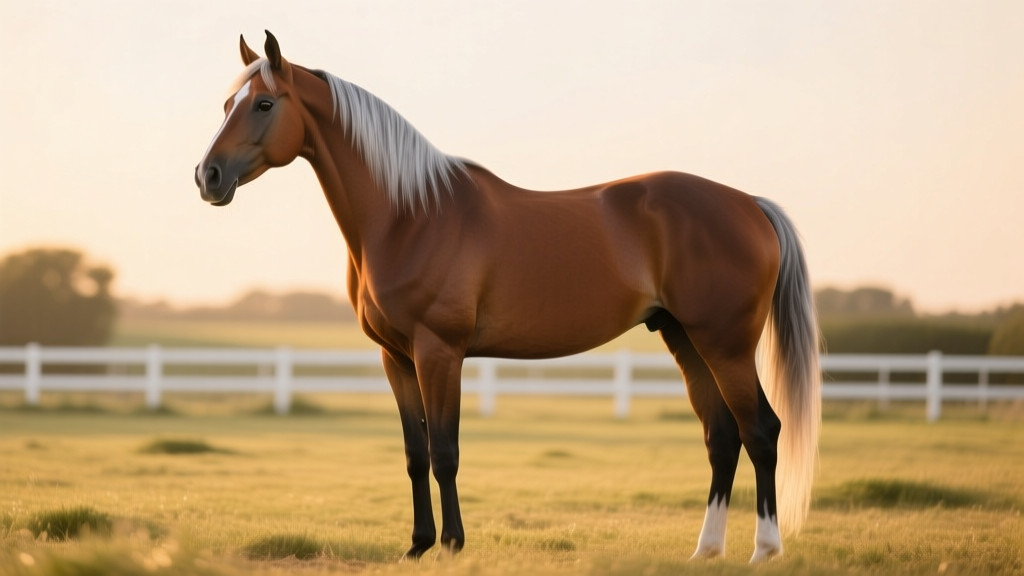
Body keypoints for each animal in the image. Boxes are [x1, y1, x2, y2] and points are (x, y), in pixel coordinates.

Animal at [195, 31, 820, 563]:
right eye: (227, 104)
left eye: (264, 104)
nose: (208, 177)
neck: (408, 216)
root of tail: (750, 203)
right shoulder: (396, 358)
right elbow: (414, 455)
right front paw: (417, 546)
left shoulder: (439, 352)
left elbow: (445, 452)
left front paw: (451, 545)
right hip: (684, 338)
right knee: (722, 437)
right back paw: (706, 551)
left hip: (725, 345)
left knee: (760, 431)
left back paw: (765, 550)